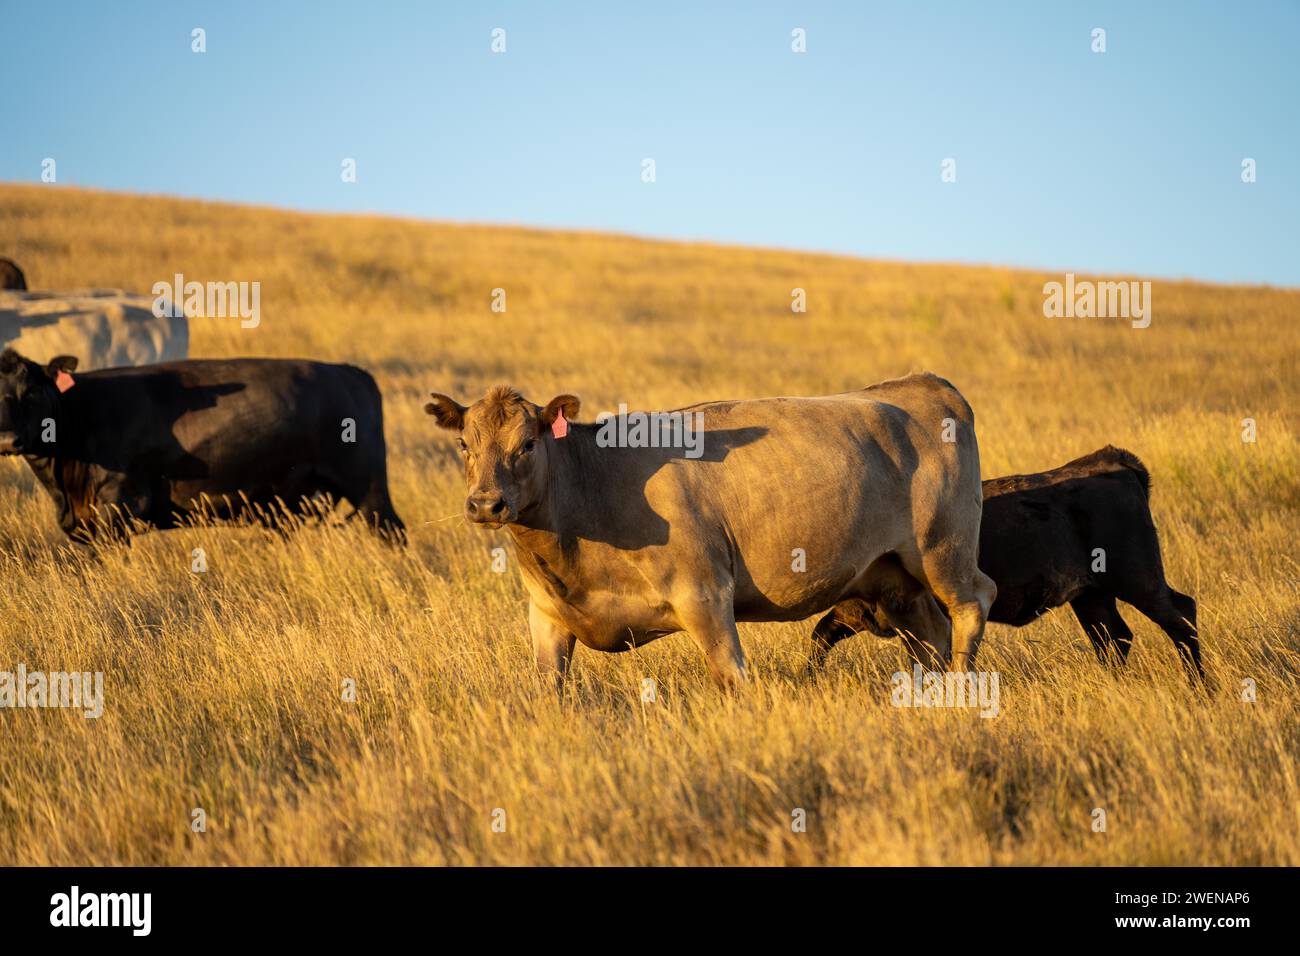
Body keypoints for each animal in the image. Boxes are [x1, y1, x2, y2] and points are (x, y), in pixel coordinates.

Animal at [0, 348, 405, 543]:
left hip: (368, 488)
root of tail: (349, 371)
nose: (7, 439)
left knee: (391, 530)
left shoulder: (120, 504)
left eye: (32, 390)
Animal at [424, 374, 996, 690]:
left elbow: (732, 677)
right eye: (464, 445)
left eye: (527, 444)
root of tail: (924, 384)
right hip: (892, 578)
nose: (486, 503)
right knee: (929, 634)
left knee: (973, 602)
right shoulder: (546, 615)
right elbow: (550, 687)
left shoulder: (705, 593)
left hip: (942, 550)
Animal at [808, 446, 1204, 681]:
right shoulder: (854, 614)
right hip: (1092, 597)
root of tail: (1115, 463)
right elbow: (820, 638)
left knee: (1181, 616)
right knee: (1113, 638)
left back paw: (1200, 686)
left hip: (1139, 581)